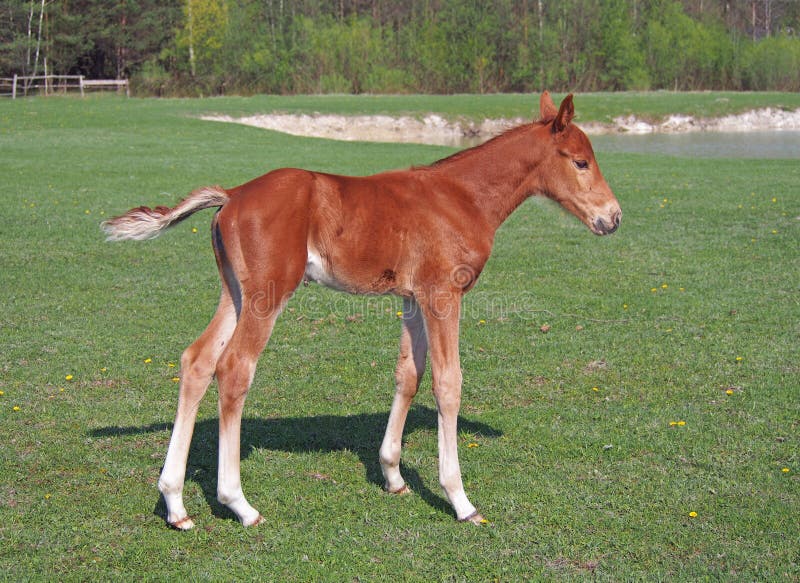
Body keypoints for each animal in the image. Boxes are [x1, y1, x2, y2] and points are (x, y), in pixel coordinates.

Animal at [103, 91, 621, 529]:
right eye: (580, 162)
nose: (613, 218)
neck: (461, 196)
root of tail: (232, 194)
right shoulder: (443, 295)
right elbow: (448, 383)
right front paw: (460, 500)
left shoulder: (413, 297)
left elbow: (408, 374)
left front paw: (392, 475)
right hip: (268, 295)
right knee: (233, 368)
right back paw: (239, 504)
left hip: (235, 292)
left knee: (197, 360)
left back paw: (175, 504)